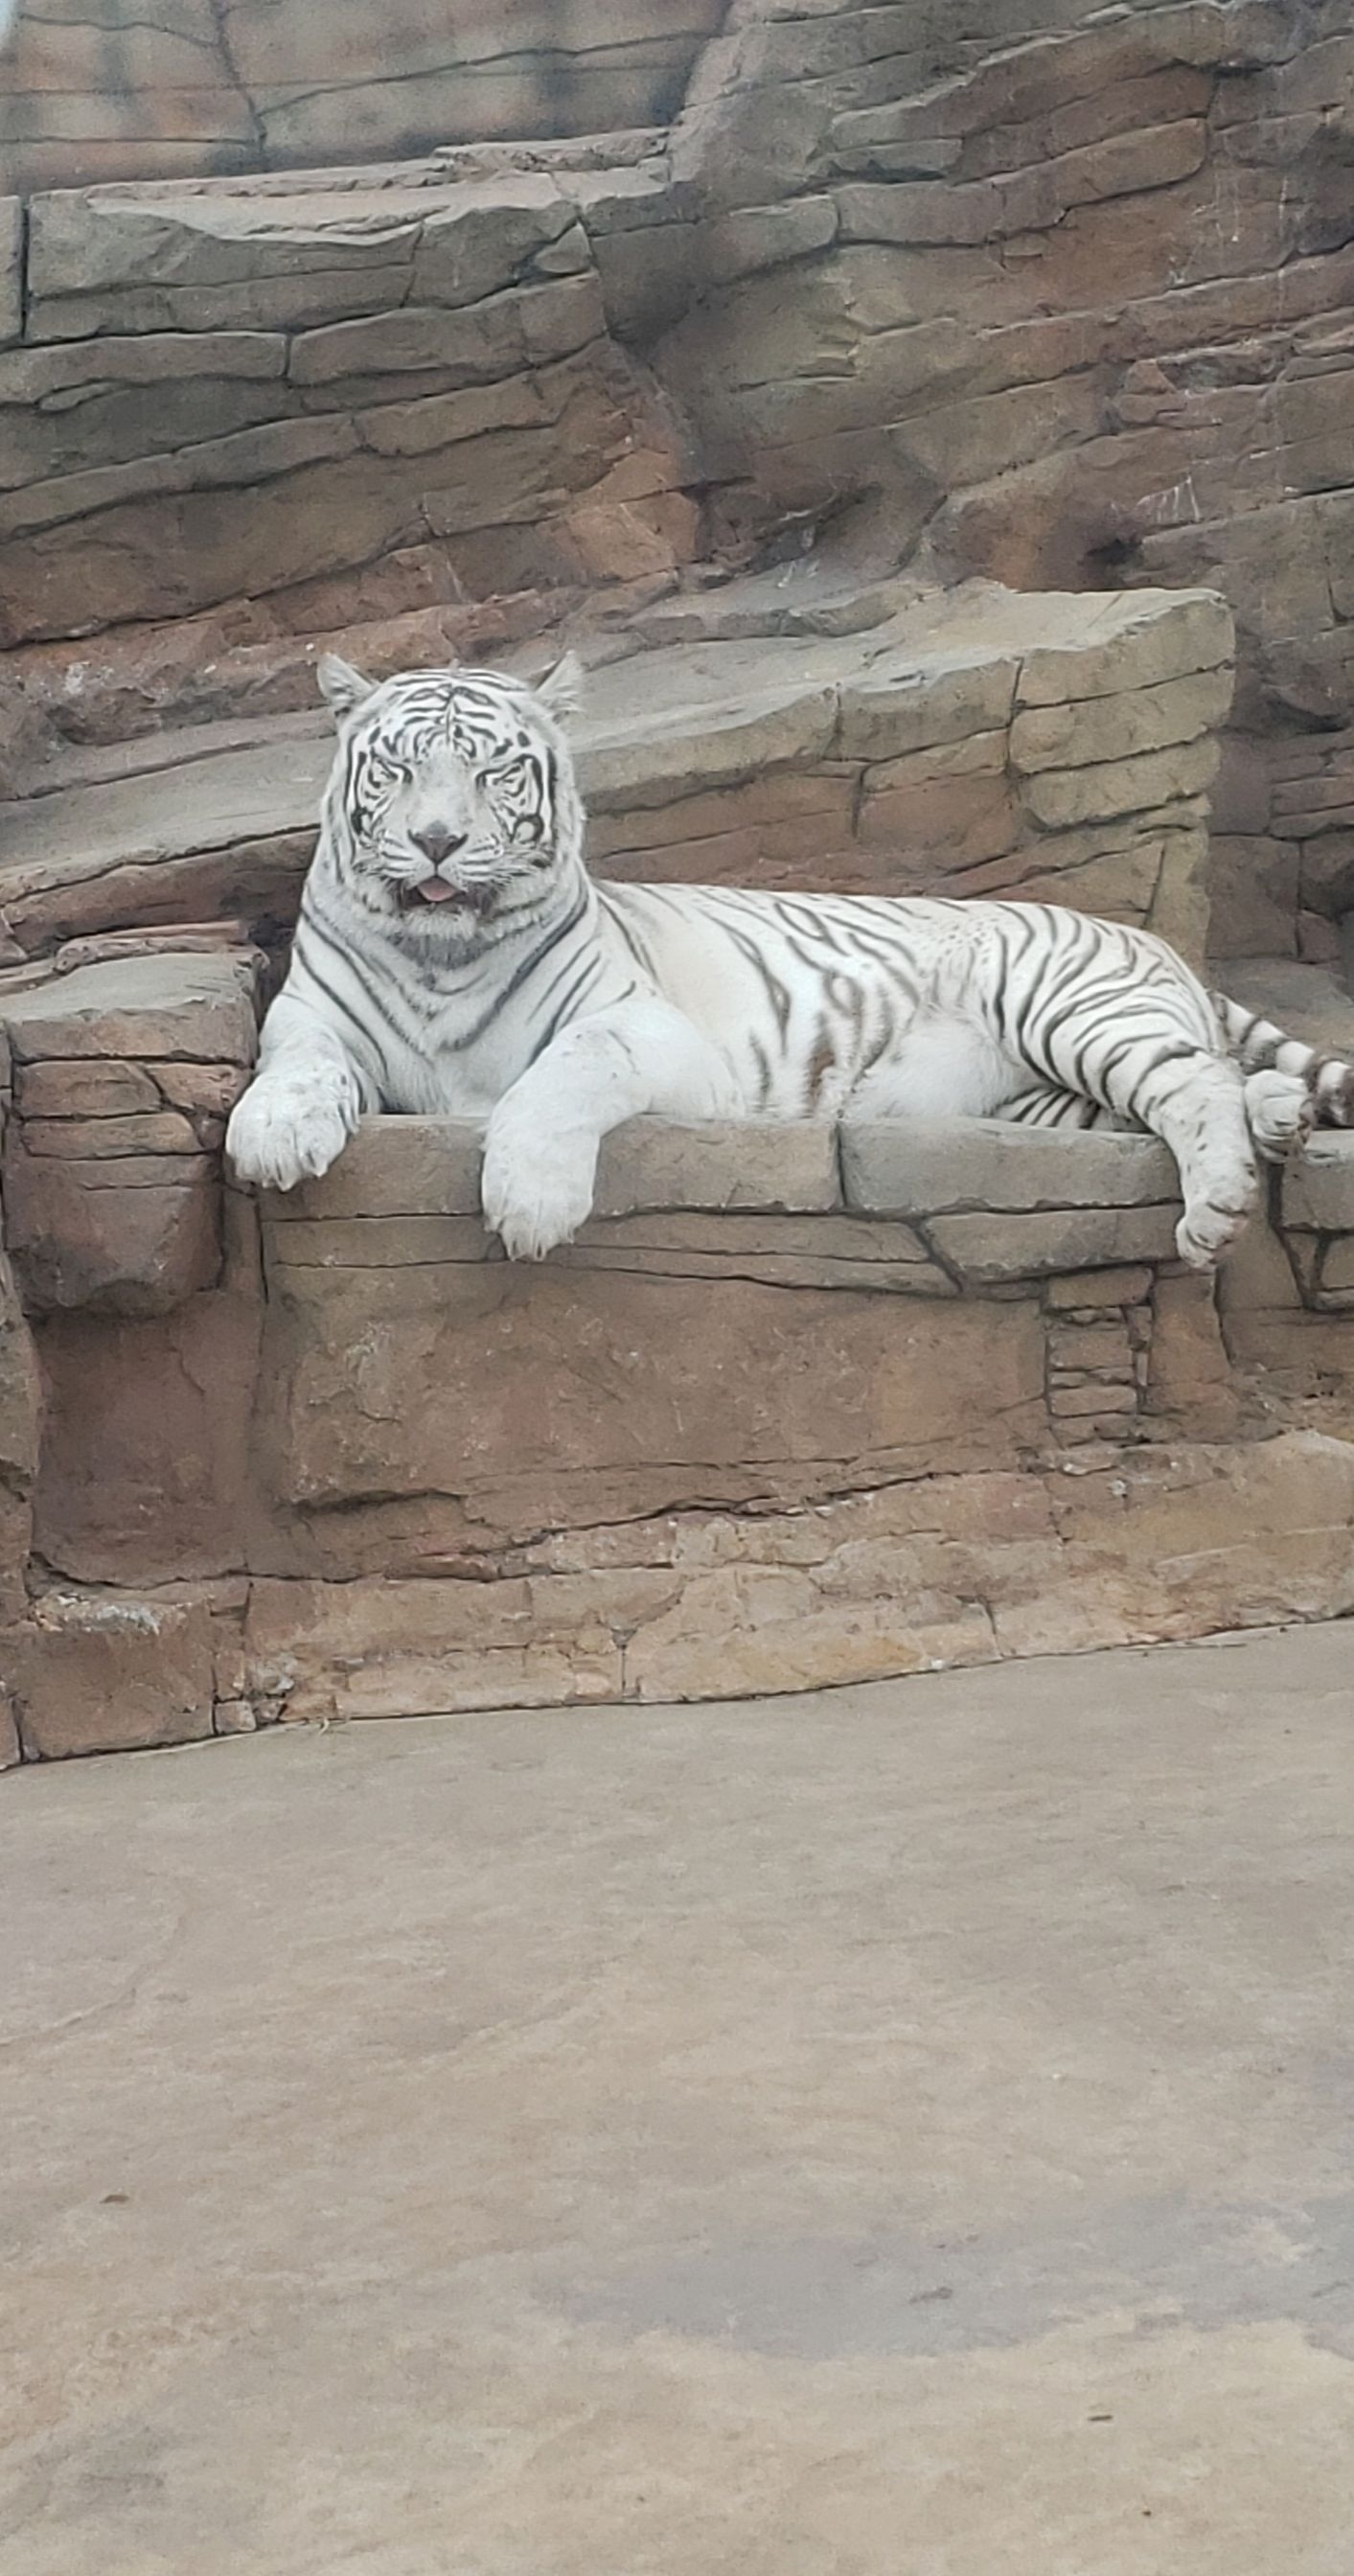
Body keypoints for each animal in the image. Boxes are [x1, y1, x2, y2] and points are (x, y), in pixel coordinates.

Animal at [226, 651, 1354, 1267]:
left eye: (492, 772)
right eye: (397, 770)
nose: (436, 842)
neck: (441, 953)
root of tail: (1151, 939)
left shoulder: (650, 1031)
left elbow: (562, 1075)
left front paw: (532, 1202)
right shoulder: (313, 1017)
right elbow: (296, 1066)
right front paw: (272, 1137)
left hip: (1072, 1006)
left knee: (1196, 1083)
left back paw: (1220, 1208)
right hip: (1041, 1096)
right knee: (1199, 1086)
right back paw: (1281, 1123)